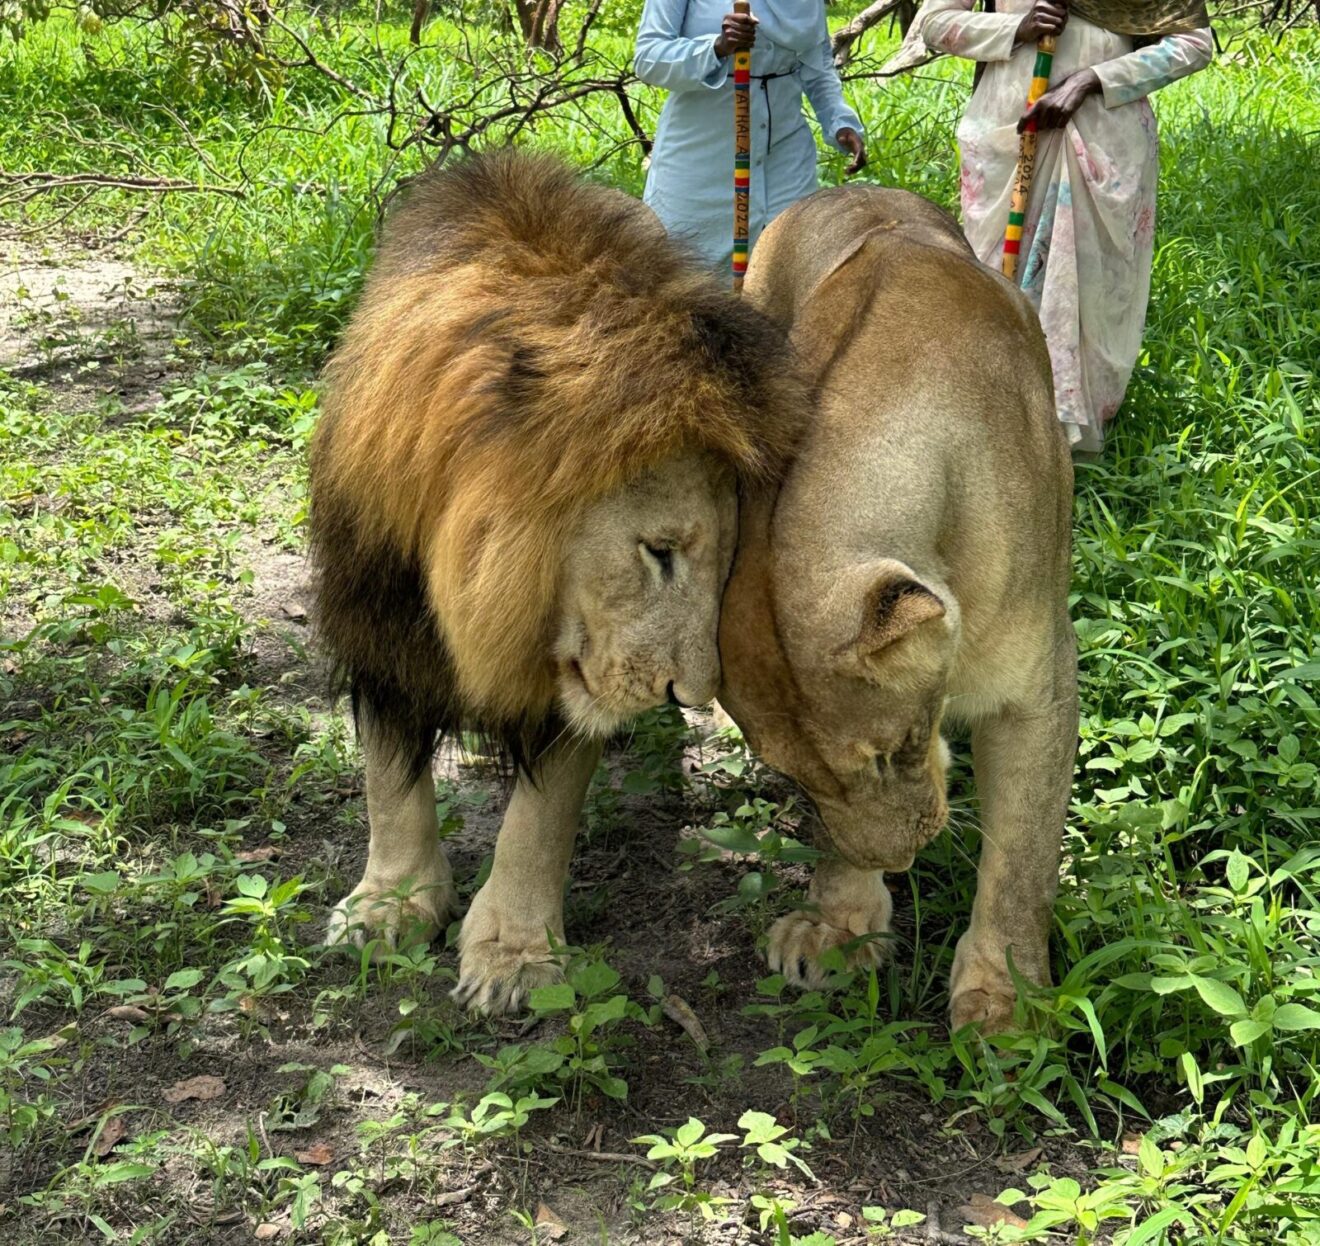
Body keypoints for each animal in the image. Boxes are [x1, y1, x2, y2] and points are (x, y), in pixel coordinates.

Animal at [309, 150, 804, 1014]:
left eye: (726, 561)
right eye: (659, 551)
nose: (688, 693)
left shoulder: (573, 677)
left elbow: (540, 818)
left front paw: (514, 955)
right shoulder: (375, 616)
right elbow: (387, 781)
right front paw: (388, 905)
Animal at [717, 185, 1078, 1034]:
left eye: (897, 749)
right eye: (795, 780)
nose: (899, 860)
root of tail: (850, 186)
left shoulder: (1040, 690)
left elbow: (1021, 855)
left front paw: (1004, 1003)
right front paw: (838, 926)